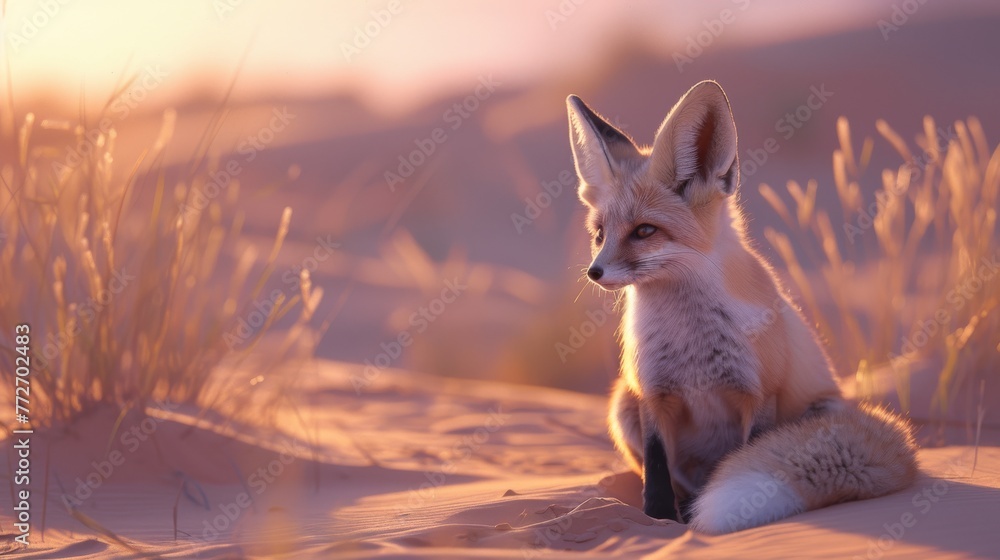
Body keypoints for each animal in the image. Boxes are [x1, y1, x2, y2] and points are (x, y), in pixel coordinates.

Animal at [566, 80, 918, 533]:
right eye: (599, 234)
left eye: (644, 231)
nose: (595, 272)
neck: (690, 344)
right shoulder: (651, 395)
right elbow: (657, 473)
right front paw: (659, 521)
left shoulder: (759, 394)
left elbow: (747, 454)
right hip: (621, 406)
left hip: (821, 407)